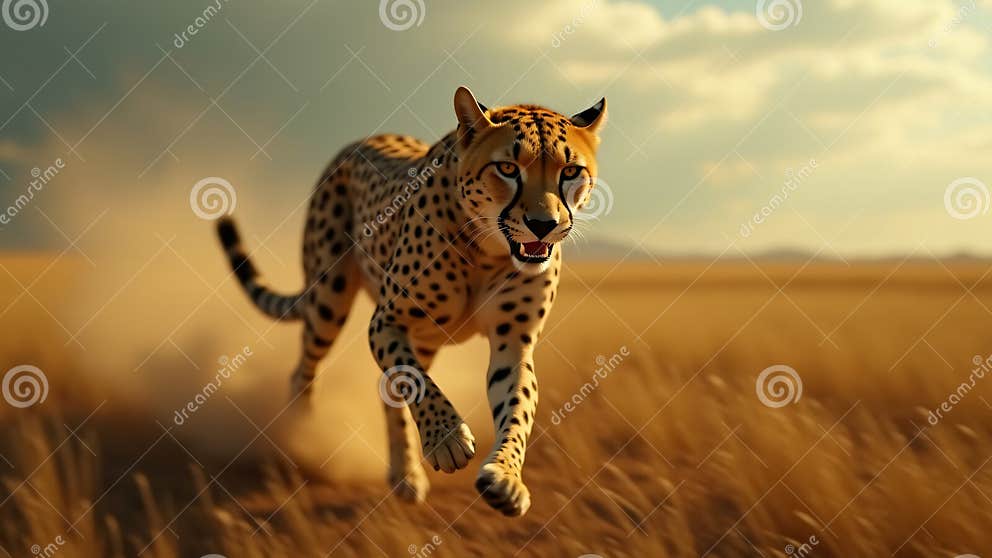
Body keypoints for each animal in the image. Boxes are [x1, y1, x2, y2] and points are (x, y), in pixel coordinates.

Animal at [215, 87, 607, 517]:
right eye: (506, 168)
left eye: (569, 172)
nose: (543, 225)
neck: (489, 249)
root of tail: (359, 141)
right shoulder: (387, 322)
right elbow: (415, 382)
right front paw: (448, 440)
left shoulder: (513, 343)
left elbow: (516, 409)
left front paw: (505, 477)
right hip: (328, 300)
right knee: (304, 370)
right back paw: (300, 438)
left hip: (423, 338)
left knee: (386, 390)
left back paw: (404, 476)